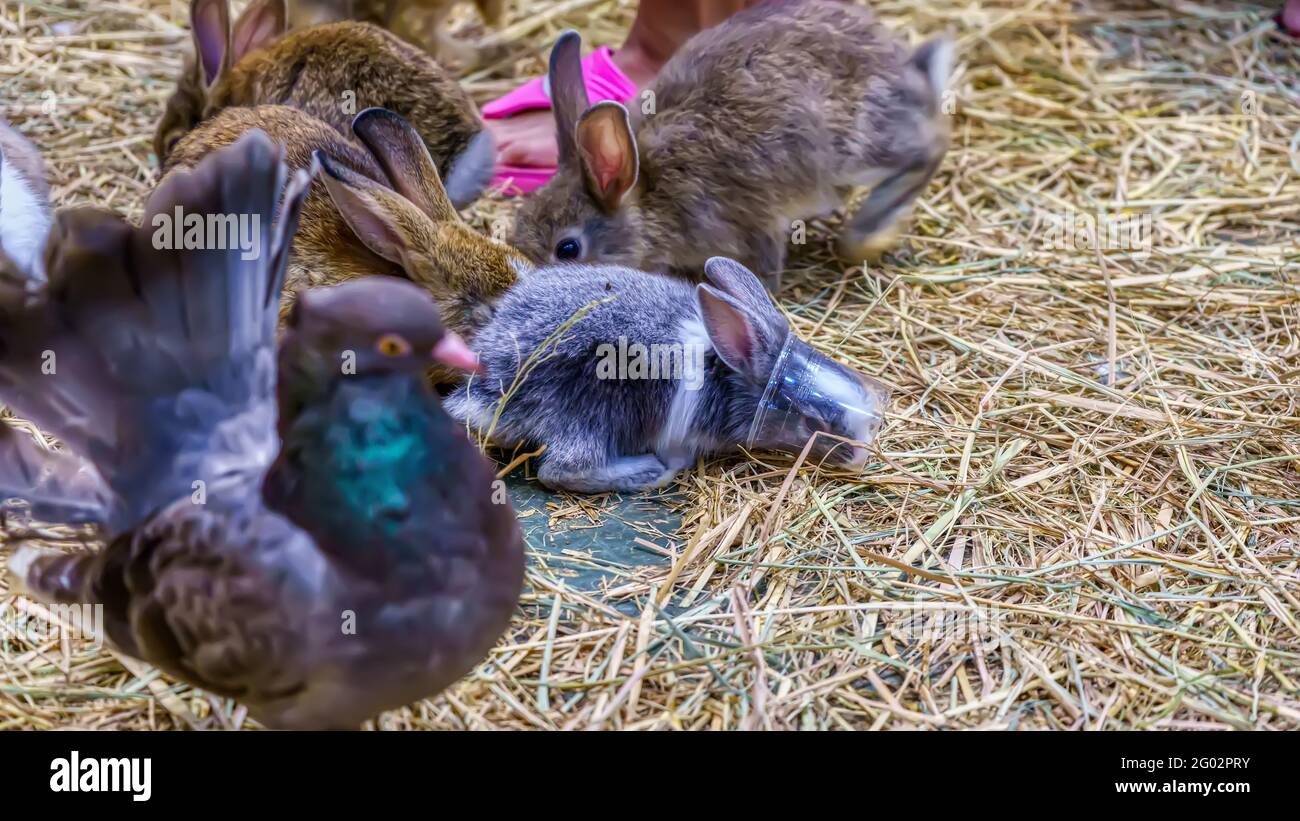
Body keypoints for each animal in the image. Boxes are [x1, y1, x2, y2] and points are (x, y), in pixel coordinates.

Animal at [445, 256, 888, 494]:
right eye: (814, 423)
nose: (863, 456)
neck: (724, 375)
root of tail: (491, 387)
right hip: (593, 412)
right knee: (562, 470)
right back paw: (649, 471)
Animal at [511, 1, 954, 290]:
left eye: (567, 249)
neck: (648, 195)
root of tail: (912, 75)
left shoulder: (749, 226)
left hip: (857, 146)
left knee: (927, 148)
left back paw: (866, 236)